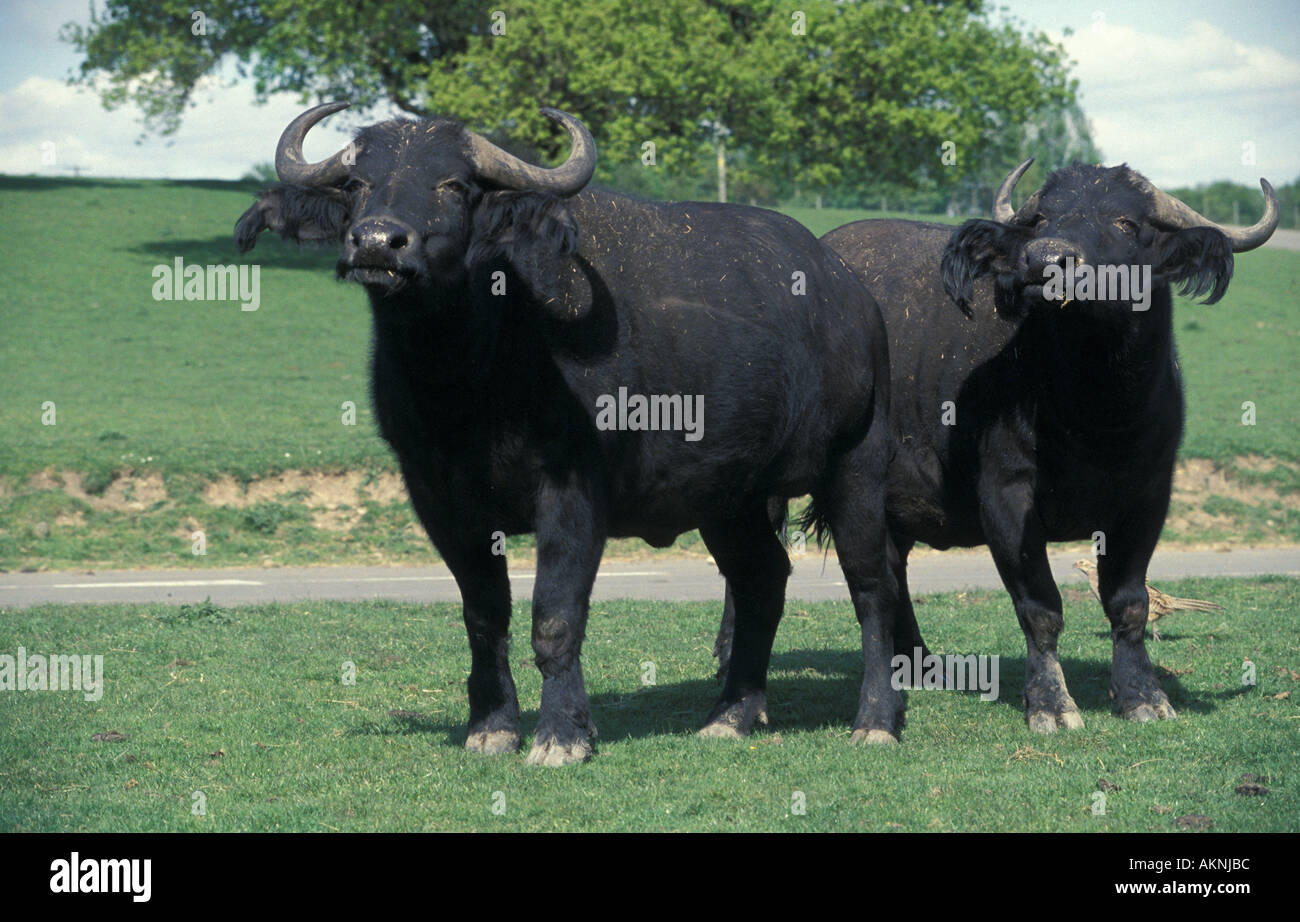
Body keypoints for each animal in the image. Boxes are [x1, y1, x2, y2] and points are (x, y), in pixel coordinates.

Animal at [235, 103, 898, 764]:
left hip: (856, 466)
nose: (377, 242)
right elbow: (483, 617)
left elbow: (554, 618)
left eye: (455, 185)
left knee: (873, 586)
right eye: (356, 184)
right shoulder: (438, 500)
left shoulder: (574, 492)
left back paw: (876, 720)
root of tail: (851, 293)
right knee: (762, 579)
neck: (468, 378)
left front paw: (562, 734)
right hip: (728, 497)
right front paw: (491, 727)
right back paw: (731, 714)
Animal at [719, 160, 1277, 736]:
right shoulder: (1005, 495)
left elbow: (1129, 602)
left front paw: (1142, 695)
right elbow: (1040, 607)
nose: (1046, 259)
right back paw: (729, 658)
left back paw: (921, 664)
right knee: (757, 563)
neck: (1092, 411)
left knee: (891, 568)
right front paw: (1051, 703)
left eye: (1127, 222)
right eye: (1043, 218)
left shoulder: (1149, 496)